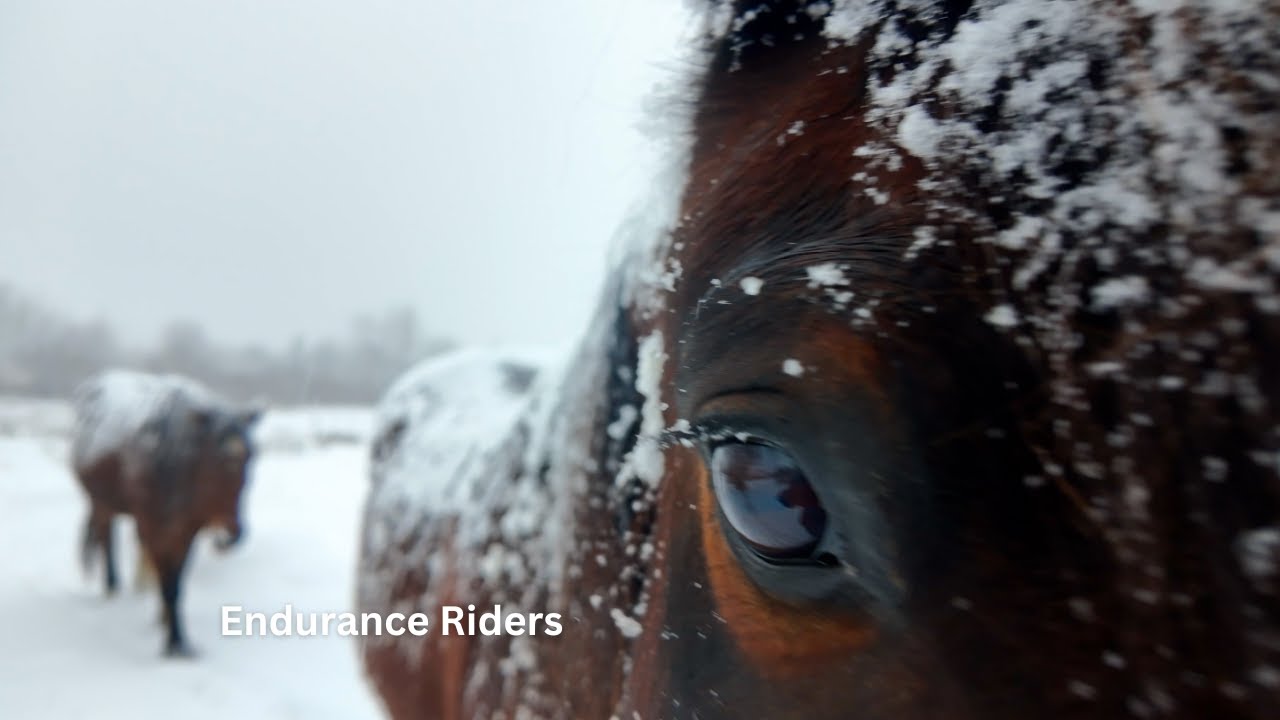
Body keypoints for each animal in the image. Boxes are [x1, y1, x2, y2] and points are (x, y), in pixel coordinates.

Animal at [72, 369, 262, 656]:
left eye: (252, 456)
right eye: (219, 458)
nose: (231, 533)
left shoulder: (187, 530)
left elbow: (176, 583)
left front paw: (171, 628)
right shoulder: (152, 526)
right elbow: (168, 583)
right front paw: (174, 642)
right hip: (100, 502)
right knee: (106, 540)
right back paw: (112, 587)